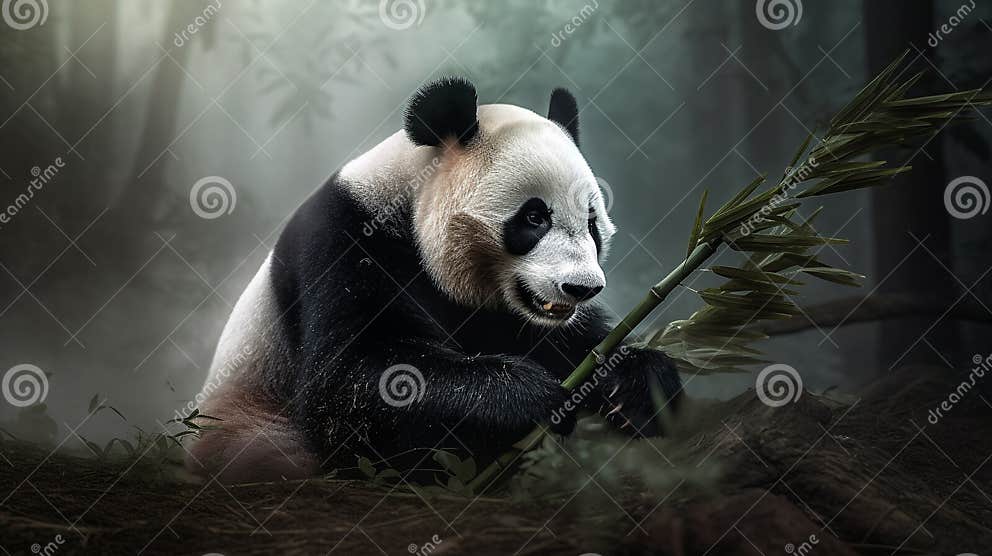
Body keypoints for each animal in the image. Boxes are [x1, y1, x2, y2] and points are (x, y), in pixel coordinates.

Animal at [187, 77, 683, 483]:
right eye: (534, 217)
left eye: (592, 223)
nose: (582, 288)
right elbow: (353, 383)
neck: (404, 202)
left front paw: (636, 383)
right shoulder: (342, 243)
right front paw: (532, 399)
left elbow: (568, 340)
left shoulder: (503, 311)